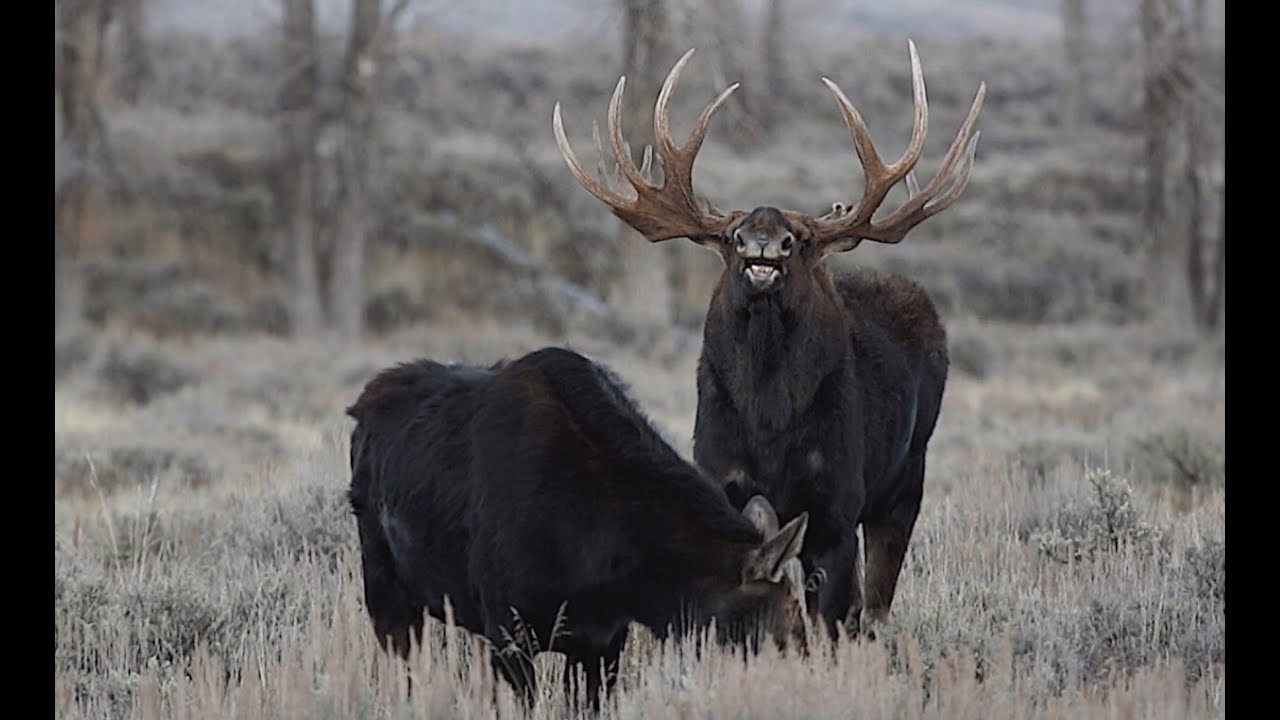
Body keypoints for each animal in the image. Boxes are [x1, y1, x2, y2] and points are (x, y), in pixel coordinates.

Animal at [346, 346, 810, 708]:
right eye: (787, 611)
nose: (805, 672)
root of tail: (360, 408)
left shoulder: (601, 644)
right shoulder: (511, 636)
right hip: (388, 595)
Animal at [551, 40, 984, 641]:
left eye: (799, 239)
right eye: (732, 235)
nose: (763, 240)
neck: (770, 417)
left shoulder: (836, 505)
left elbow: (830, 618)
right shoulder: (723, 480)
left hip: (906, 480)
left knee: (874, 603)